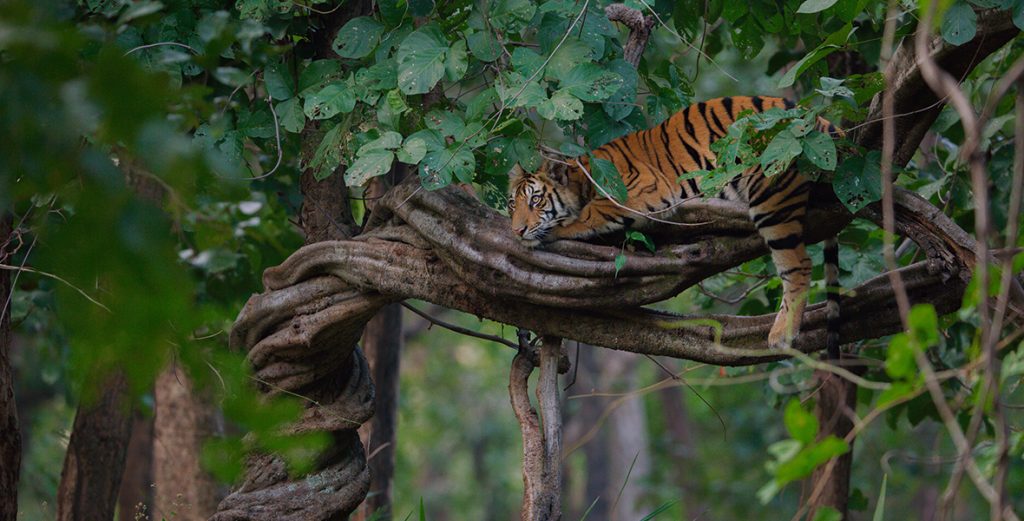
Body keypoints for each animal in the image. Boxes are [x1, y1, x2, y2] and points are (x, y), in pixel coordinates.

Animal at [508, 95, 841, 353]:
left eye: (535, 200)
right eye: (513, 204)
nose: (517, 230)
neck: (583, 180)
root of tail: (823, 122)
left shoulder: (639, 189)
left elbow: (589, 215)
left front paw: (554, 230)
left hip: (771, 195)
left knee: (798, 264)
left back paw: (782, 335)